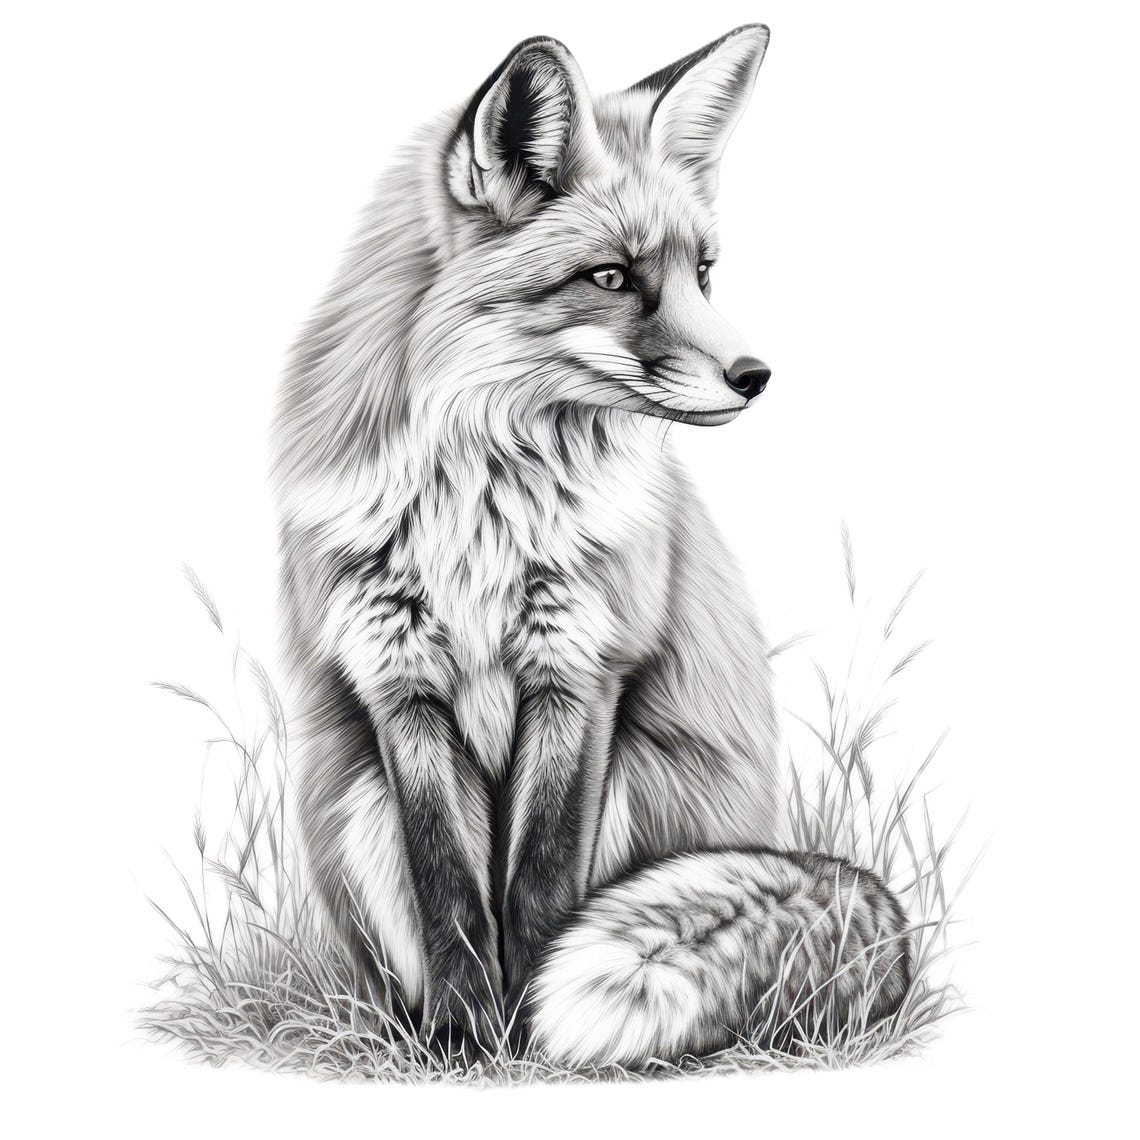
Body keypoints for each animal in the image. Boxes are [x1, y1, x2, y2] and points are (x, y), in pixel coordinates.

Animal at [272, 24, 910, 1068]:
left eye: (704, 274)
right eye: (612, 277)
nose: (756, 375)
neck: (483, 506)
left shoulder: (582, 667)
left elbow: (538, 880)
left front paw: (531, 1038)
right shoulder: (396, 679)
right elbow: (452, 891)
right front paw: (466, 1036)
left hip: (648, 783)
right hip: (355, 801)